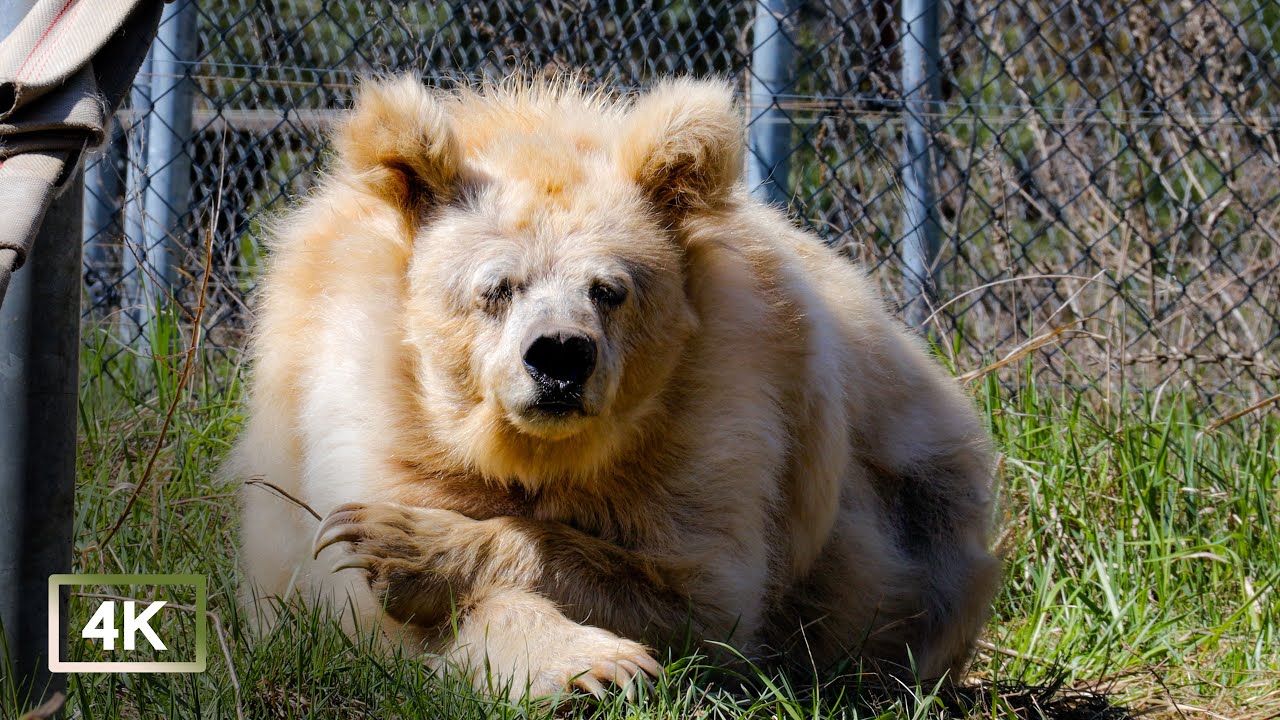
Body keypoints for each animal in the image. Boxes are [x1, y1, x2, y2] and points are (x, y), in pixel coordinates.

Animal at [230, 74, 1000, 699]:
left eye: (610, 289)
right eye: (497, 288)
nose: (560, 356)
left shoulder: (717, 410)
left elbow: (698, 588)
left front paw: (410, 546)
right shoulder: (378, 399)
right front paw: (583, 663)